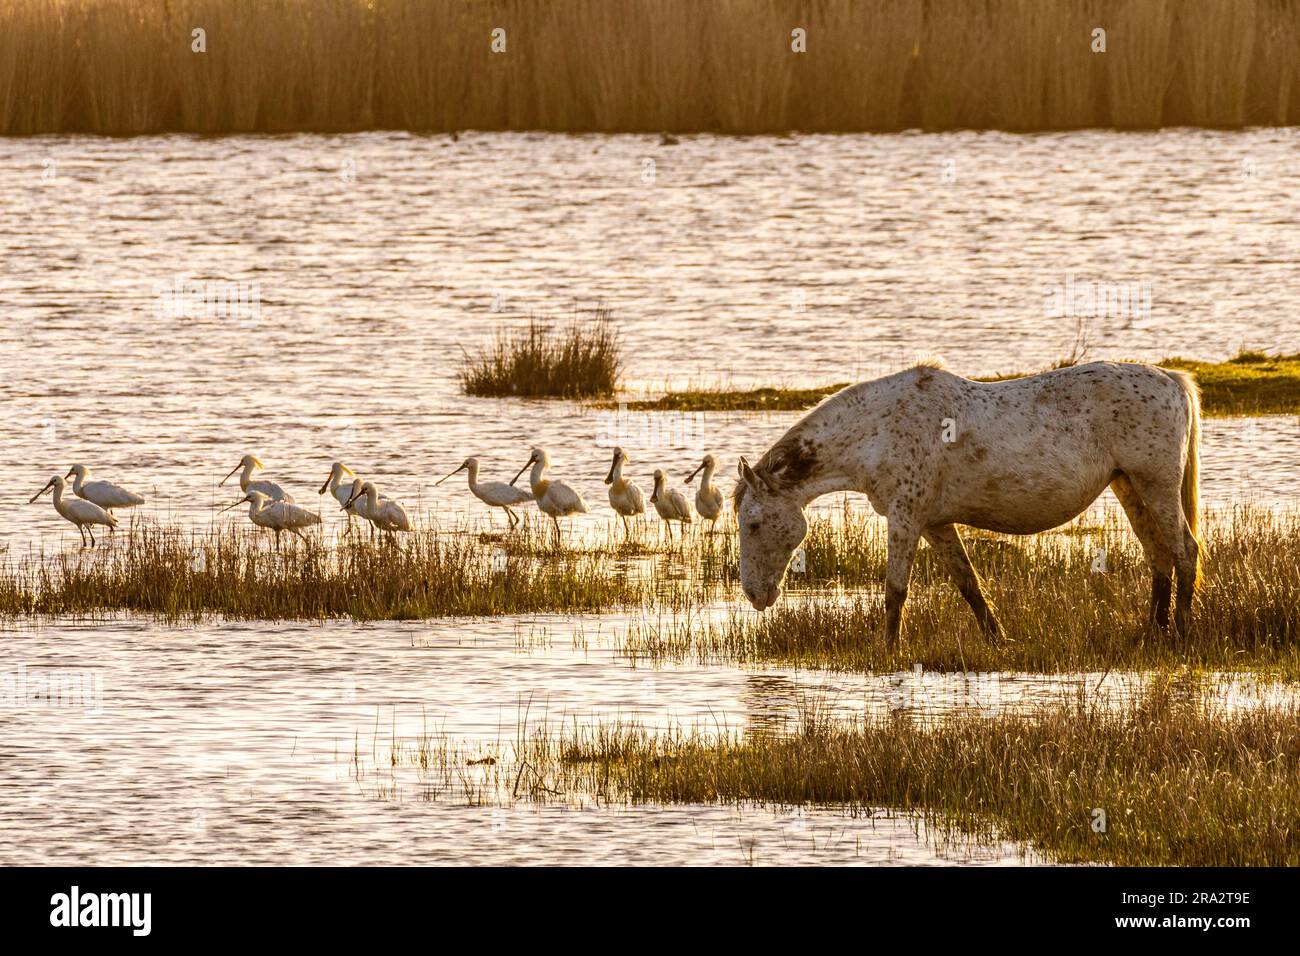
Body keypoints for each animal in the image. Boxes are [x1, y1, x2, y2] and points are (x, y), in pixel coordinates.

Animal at [734, 361, 1202, 645]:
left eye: (753, 523)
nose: (755, 595)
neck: (878, 432)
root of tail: (1172, 381)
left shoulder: (906, 519)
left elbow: (895, 592)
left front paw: (888, 650)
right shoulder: (935, 524)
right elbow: (968, 584)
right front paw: (998, 639)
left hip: (1156, 485)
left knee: (1185, 550)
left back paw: (1180, 630)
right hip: (1129, 486)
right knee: (1158, 555)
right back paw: (1153, 630)